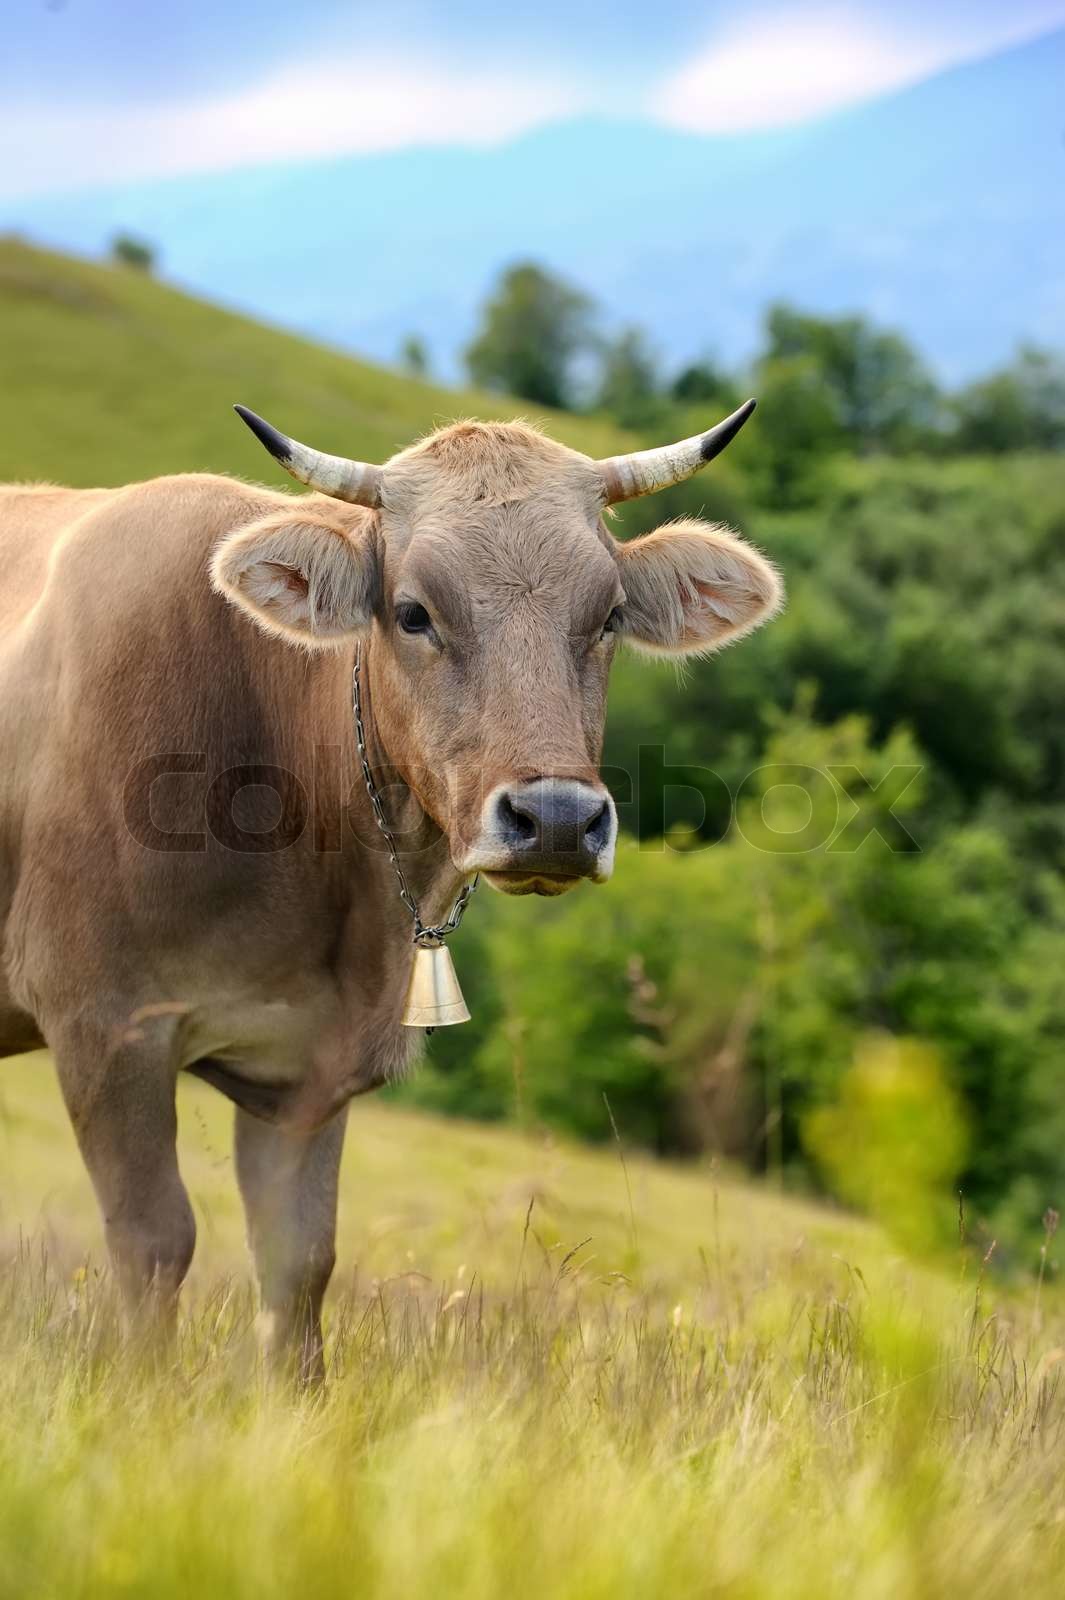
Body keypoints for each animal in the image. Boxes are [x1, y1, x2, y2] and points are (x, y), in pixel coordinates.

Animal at [0, 402, 781, 1378]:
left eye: (607, 616)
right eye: (413, 613)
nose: (556, 819)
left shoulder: (310, 1068)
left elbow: (299, 1269)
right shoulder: (105, 1025)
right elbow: (153, 1245)